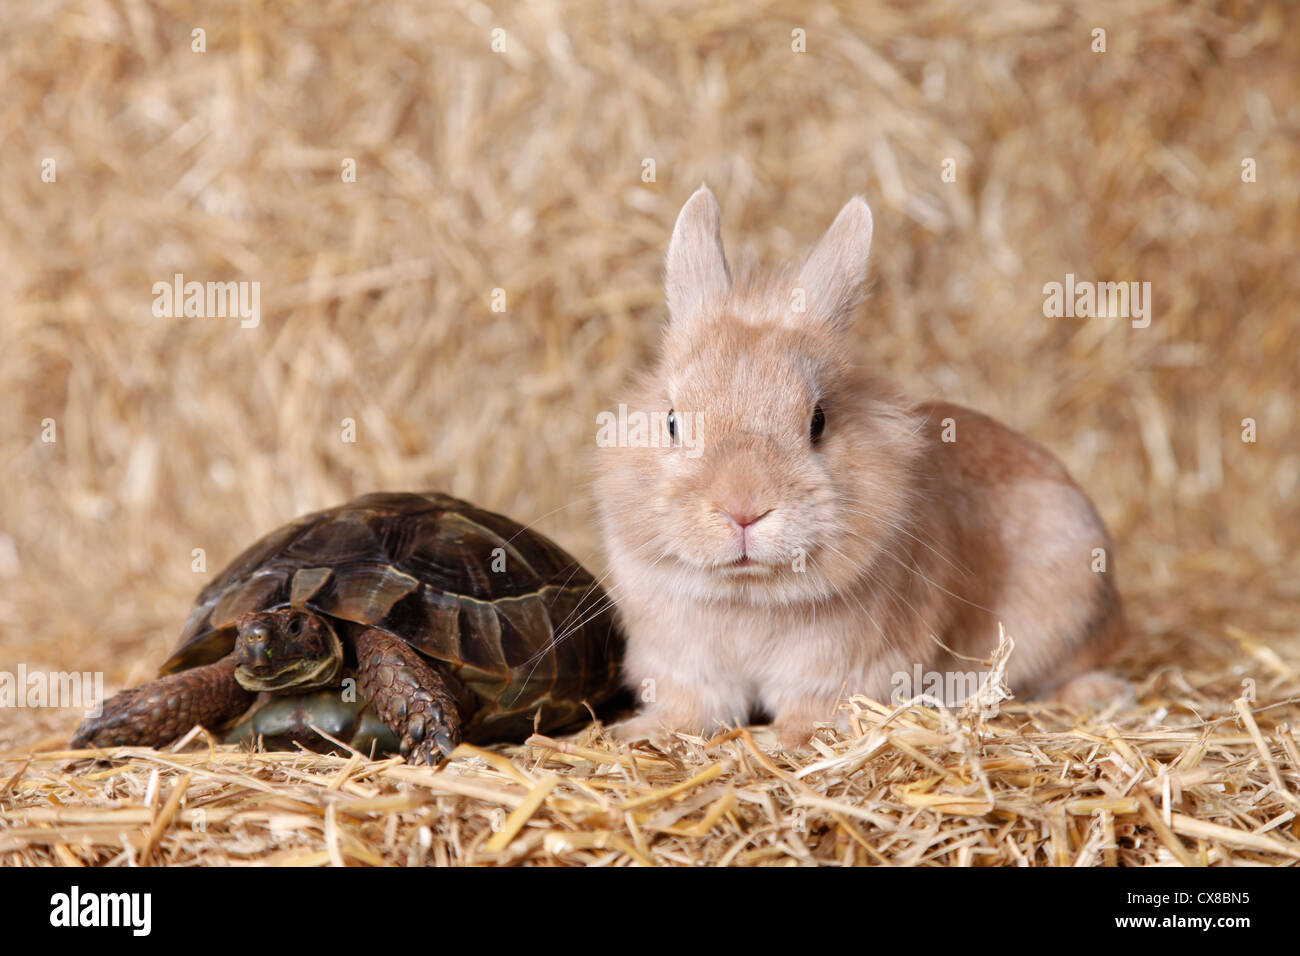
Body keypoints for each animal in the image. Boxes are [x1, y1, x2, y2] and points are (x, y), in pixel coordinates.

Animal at [594, 185, 1129, 750]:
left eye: (819, 420)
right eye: (672, 421)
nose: (743, 510)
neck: (750, 595)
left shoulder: (840, 671)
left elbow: (811, 714)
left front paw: (778, 741)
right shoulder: (687, 668)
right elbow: (692, 708)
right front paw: (640, 732)